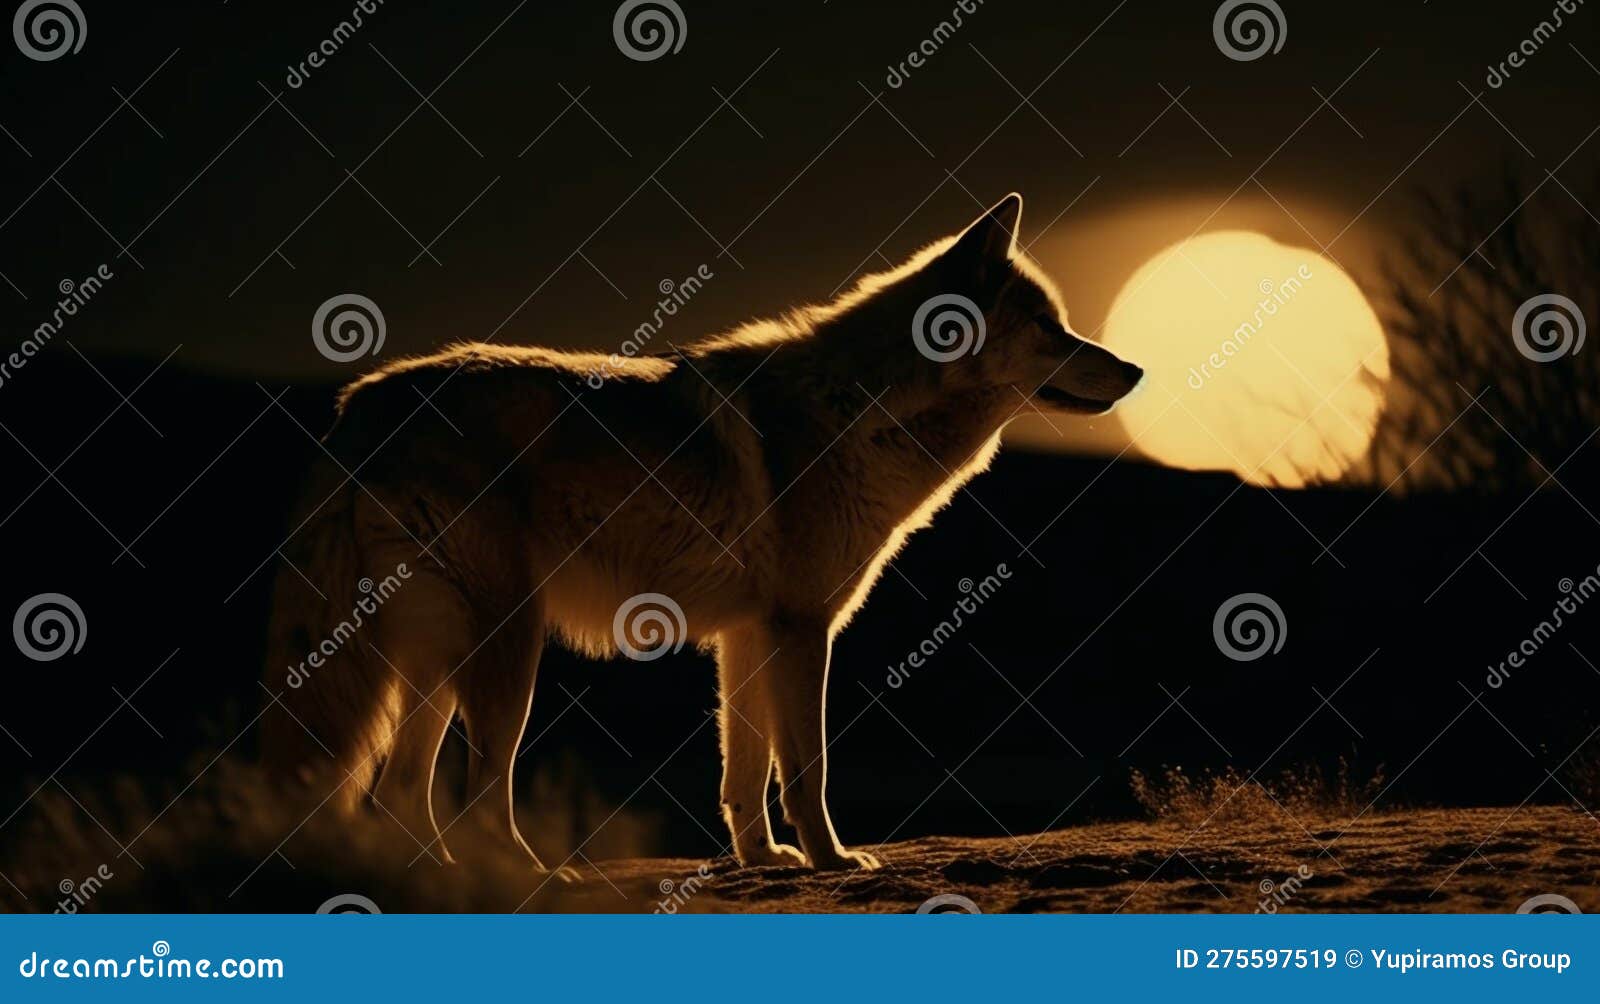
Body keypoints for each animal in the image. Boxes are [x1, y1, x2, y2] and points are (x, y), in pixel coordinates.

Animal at [260, 193, 1143, 873]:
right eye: (1051, 327)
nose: (1137, 369)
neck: (867, 408)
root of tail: (357, 403)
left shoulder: (747, 636)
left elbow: (744, 775)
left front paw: (763, 861)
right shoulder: (802, 630)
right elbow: (808, 771)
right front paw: (832, 860)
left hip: (438, 661)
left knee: (400, 796)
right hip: (507, 648)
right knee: (473, 797)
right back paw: (533, 875)